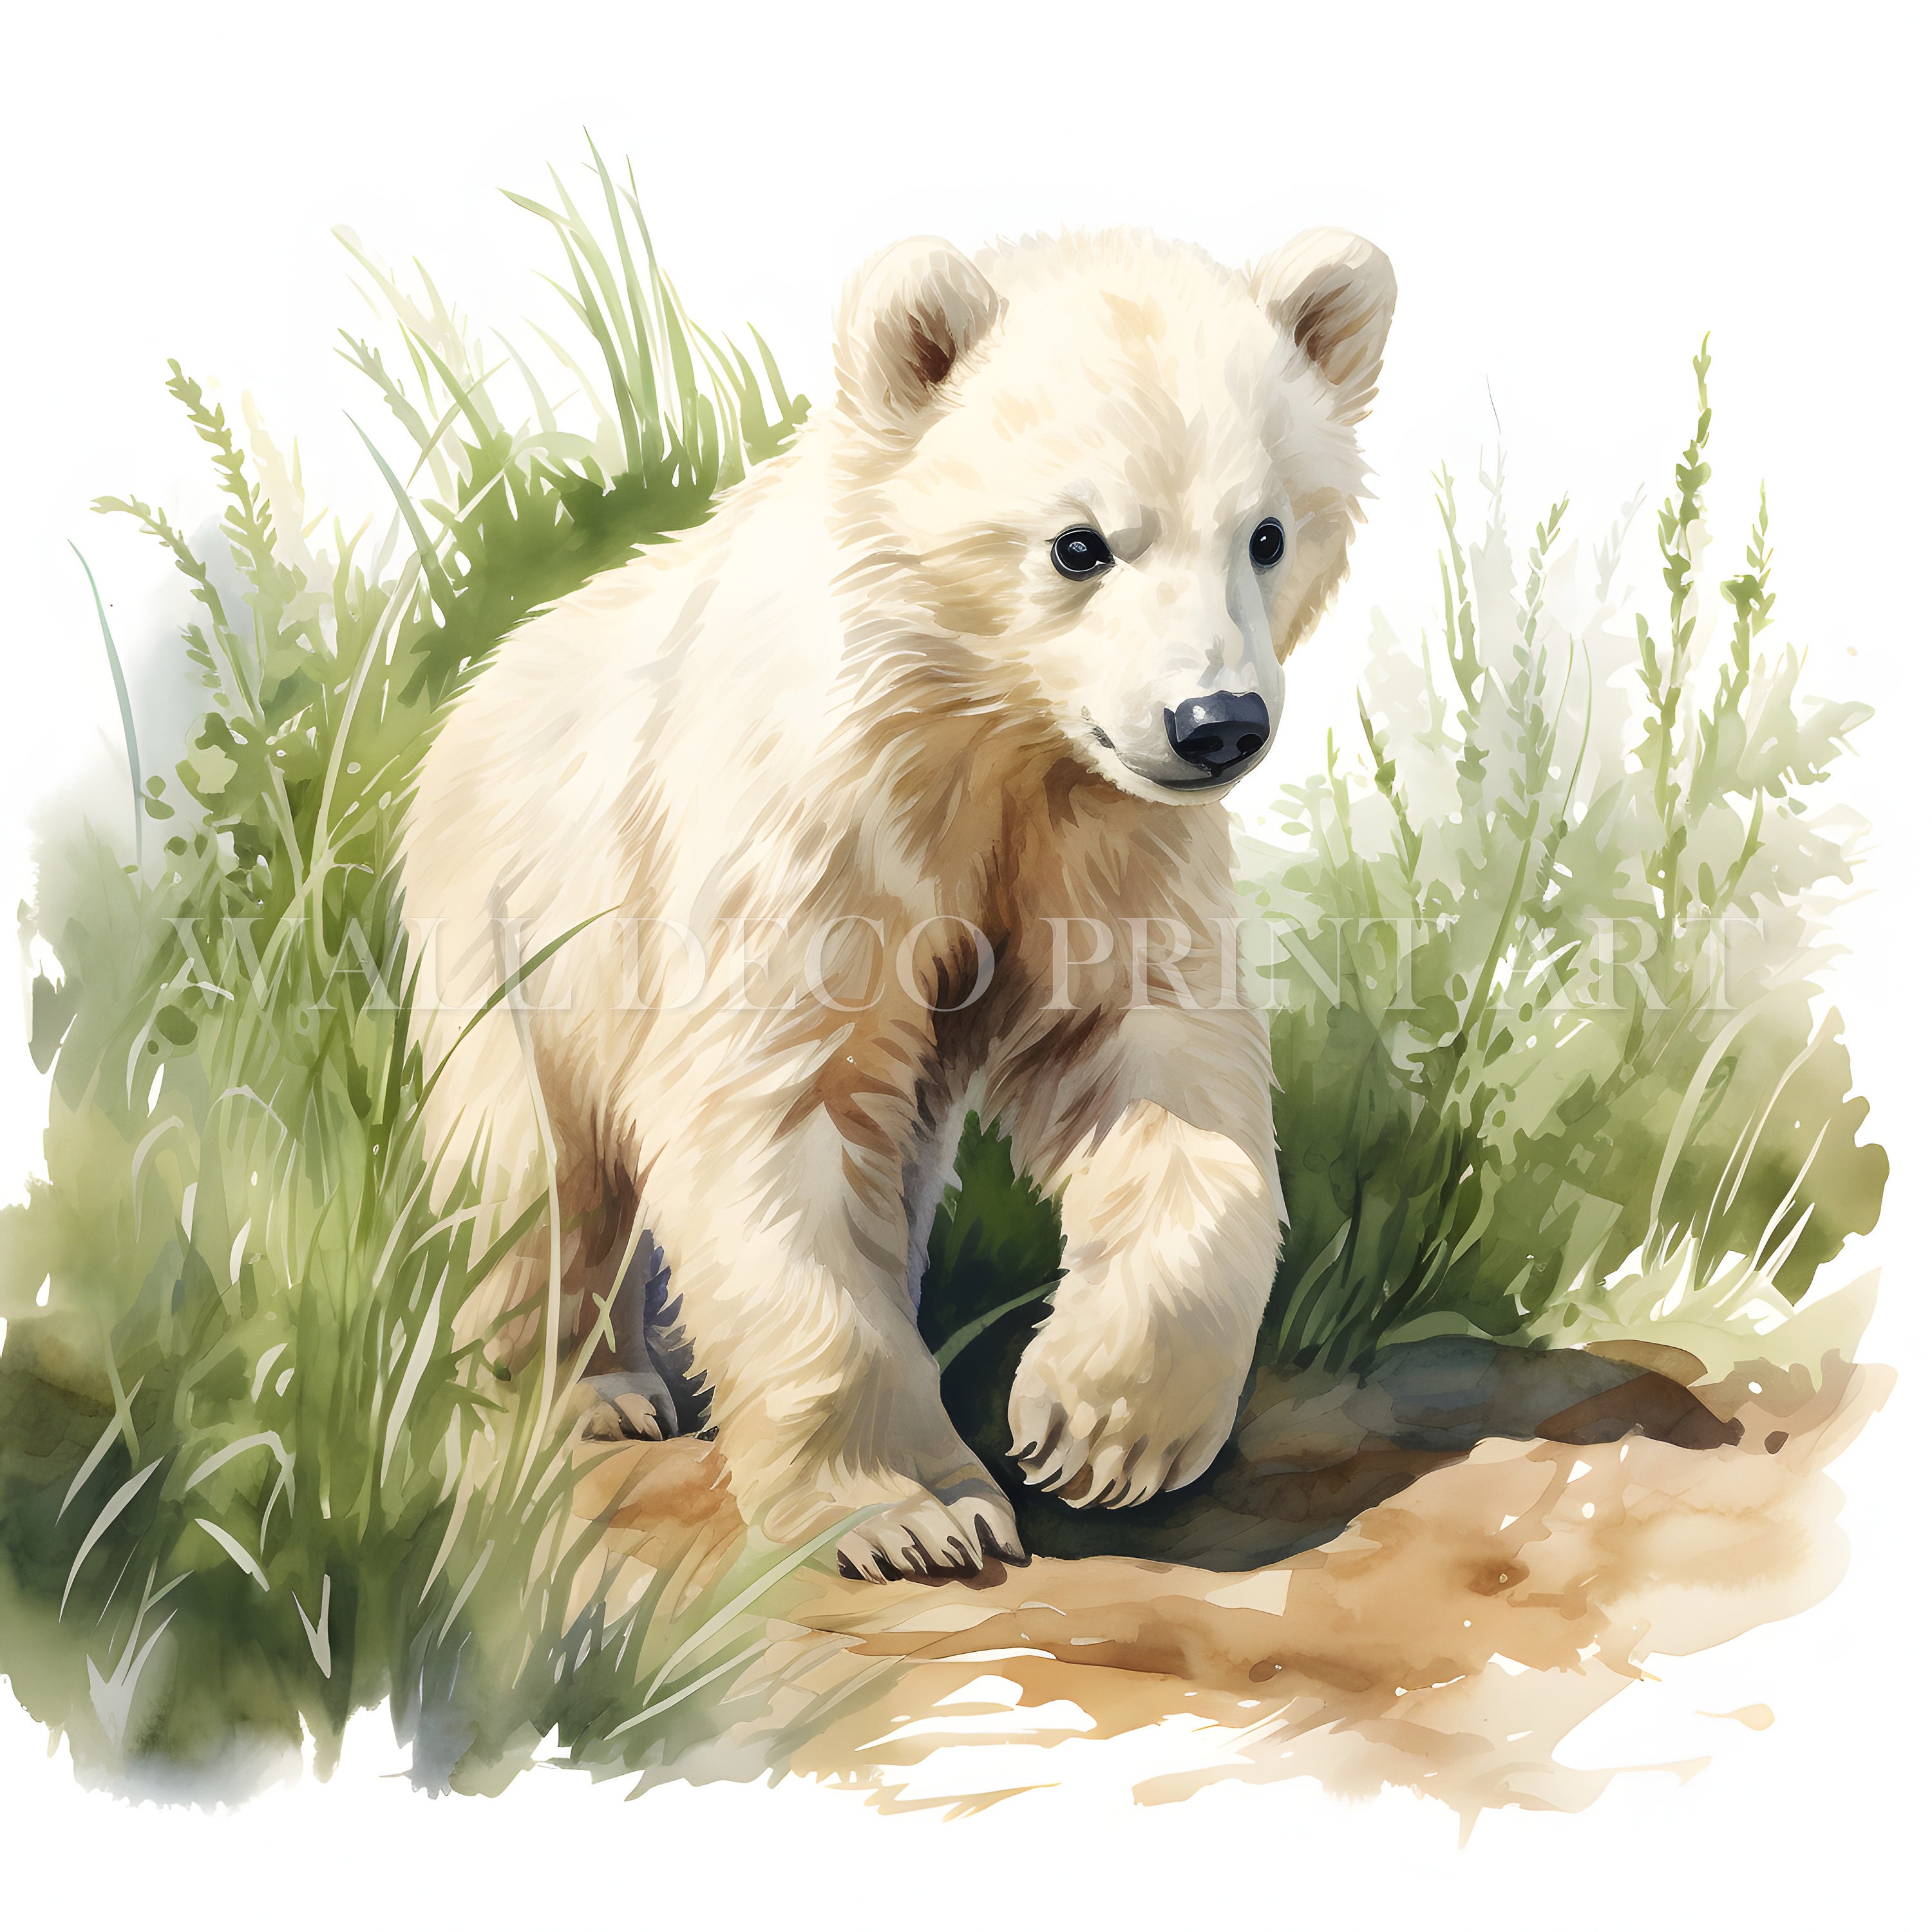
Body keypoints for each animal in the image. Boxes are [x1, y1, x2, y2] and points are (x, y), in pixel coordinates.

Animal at [399, 224, 1395, 1581]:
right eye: (1079, 544)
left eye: (1267, 533)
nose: (1215, 723)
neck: (978, 717)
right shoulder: (815, 828)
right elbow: (781, 1107)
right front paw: (912, 1515)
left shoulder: (1093, 836)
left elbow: (1147, 1055)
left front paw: (1096, 1428)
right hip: (518, 918)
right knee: (534, 1163)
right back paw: (586, 1394)